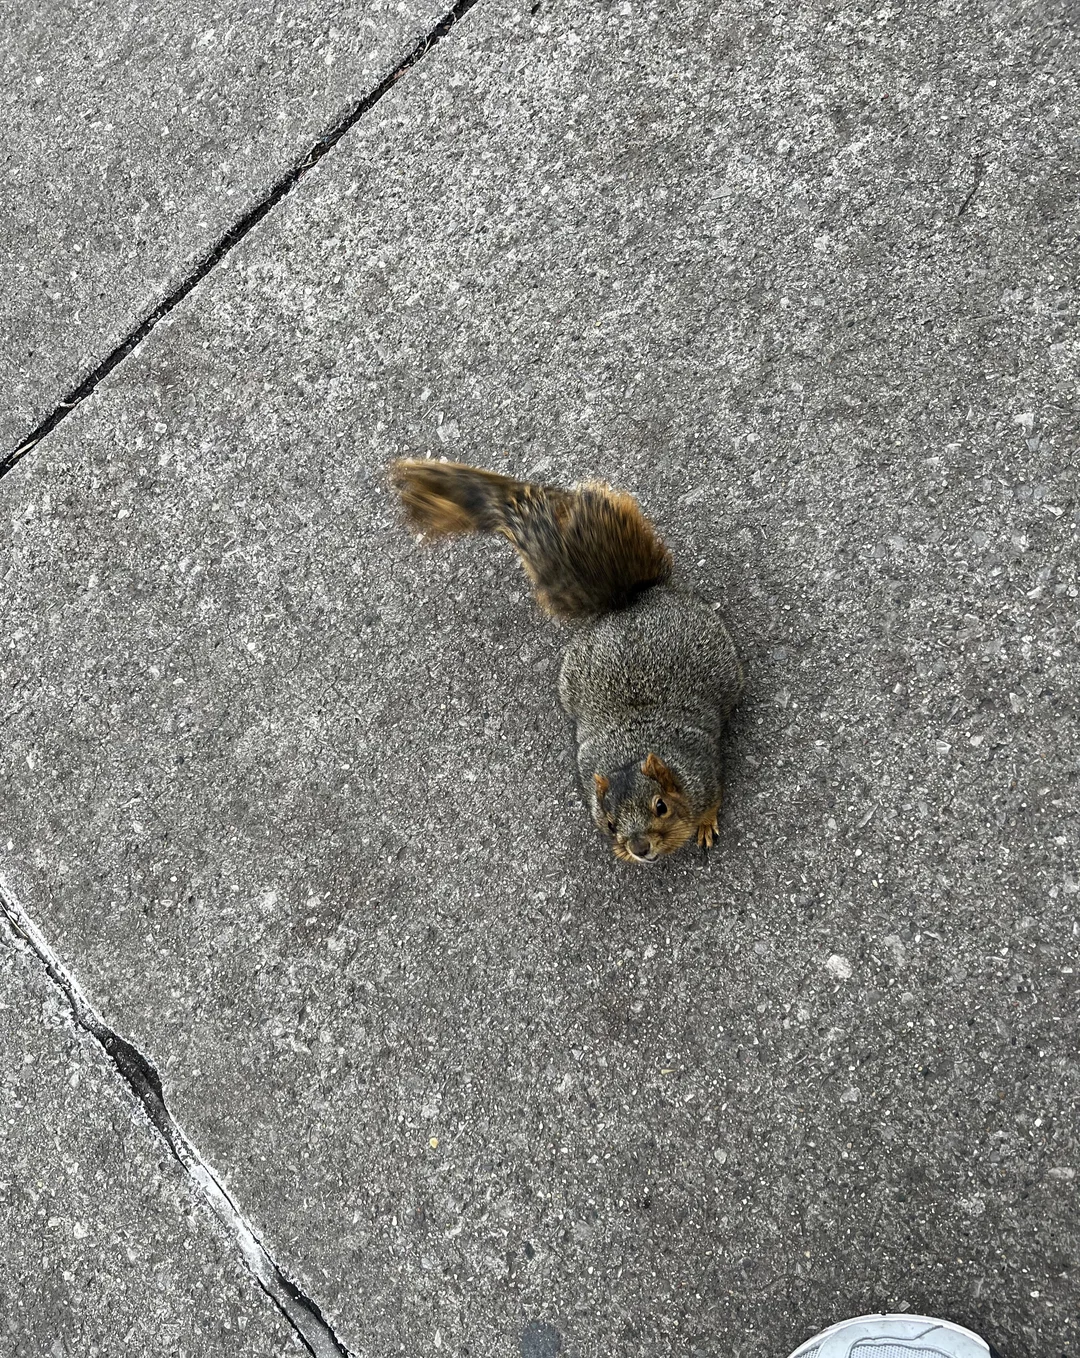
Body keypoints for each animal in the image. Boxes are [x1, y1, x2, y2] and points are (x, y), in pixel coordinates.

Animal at [390, 459, 744, 865]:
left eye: (661, 806)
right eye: (609, 823)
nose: (639, 848)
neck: (636, 749)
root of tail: (629, 604)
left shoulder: (704, 772)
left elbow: (713, 801)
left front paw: (705, 825)